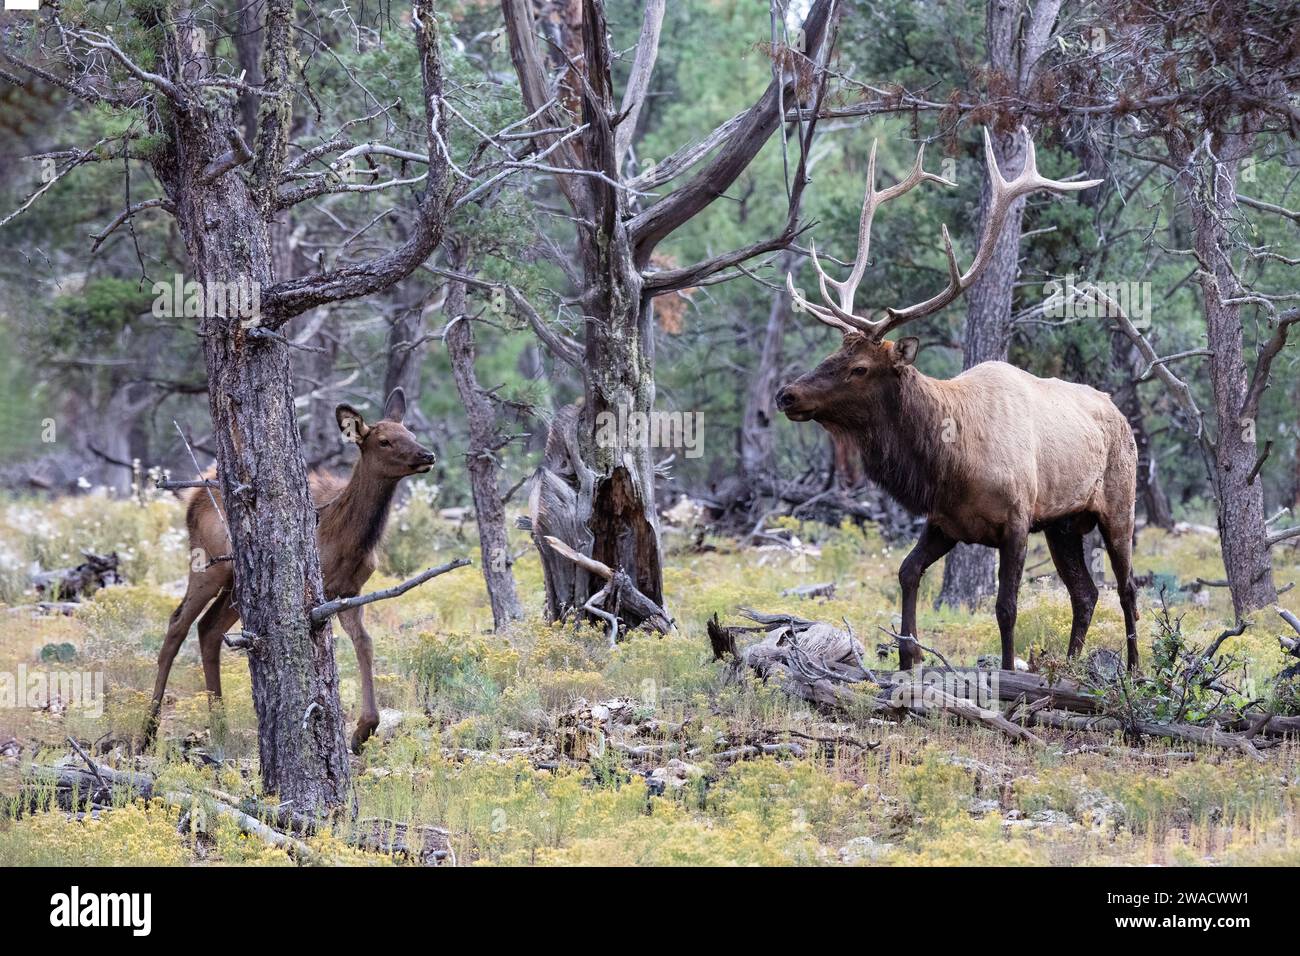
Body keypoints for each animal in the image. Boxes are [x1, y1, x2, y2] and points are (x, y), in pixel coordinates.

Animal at [144, 388, 436, 753]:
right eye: (384, 441)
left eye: (410, 433)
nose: (428, 455)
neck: (349, 539)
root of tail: (193, 495)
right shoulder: (320, 589)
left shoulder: (350, 590)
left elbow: (365, 642)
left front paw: (363, 729)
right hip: (207, 564)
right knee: (178, 623)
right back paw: (149, 728)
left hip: (236, 583)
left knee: (208, 628)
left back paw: (220, 725)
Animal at [775, 127, 1140, 673]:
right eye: (832, 352)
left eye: (860, 368)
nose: (786, 393)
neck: (951, 461)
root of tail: (1120, 414)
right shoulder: (945, 522)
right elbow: (906, 573)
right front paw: (906, 660)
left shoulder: (1016, 520)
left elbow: (1006, 606)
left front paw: (1008, 676)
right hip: (1063, 524)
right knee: (1086, 593)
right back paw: (1071, 669)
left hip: (1118, 505)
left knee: (1127, 587)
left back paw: (1135, 670)